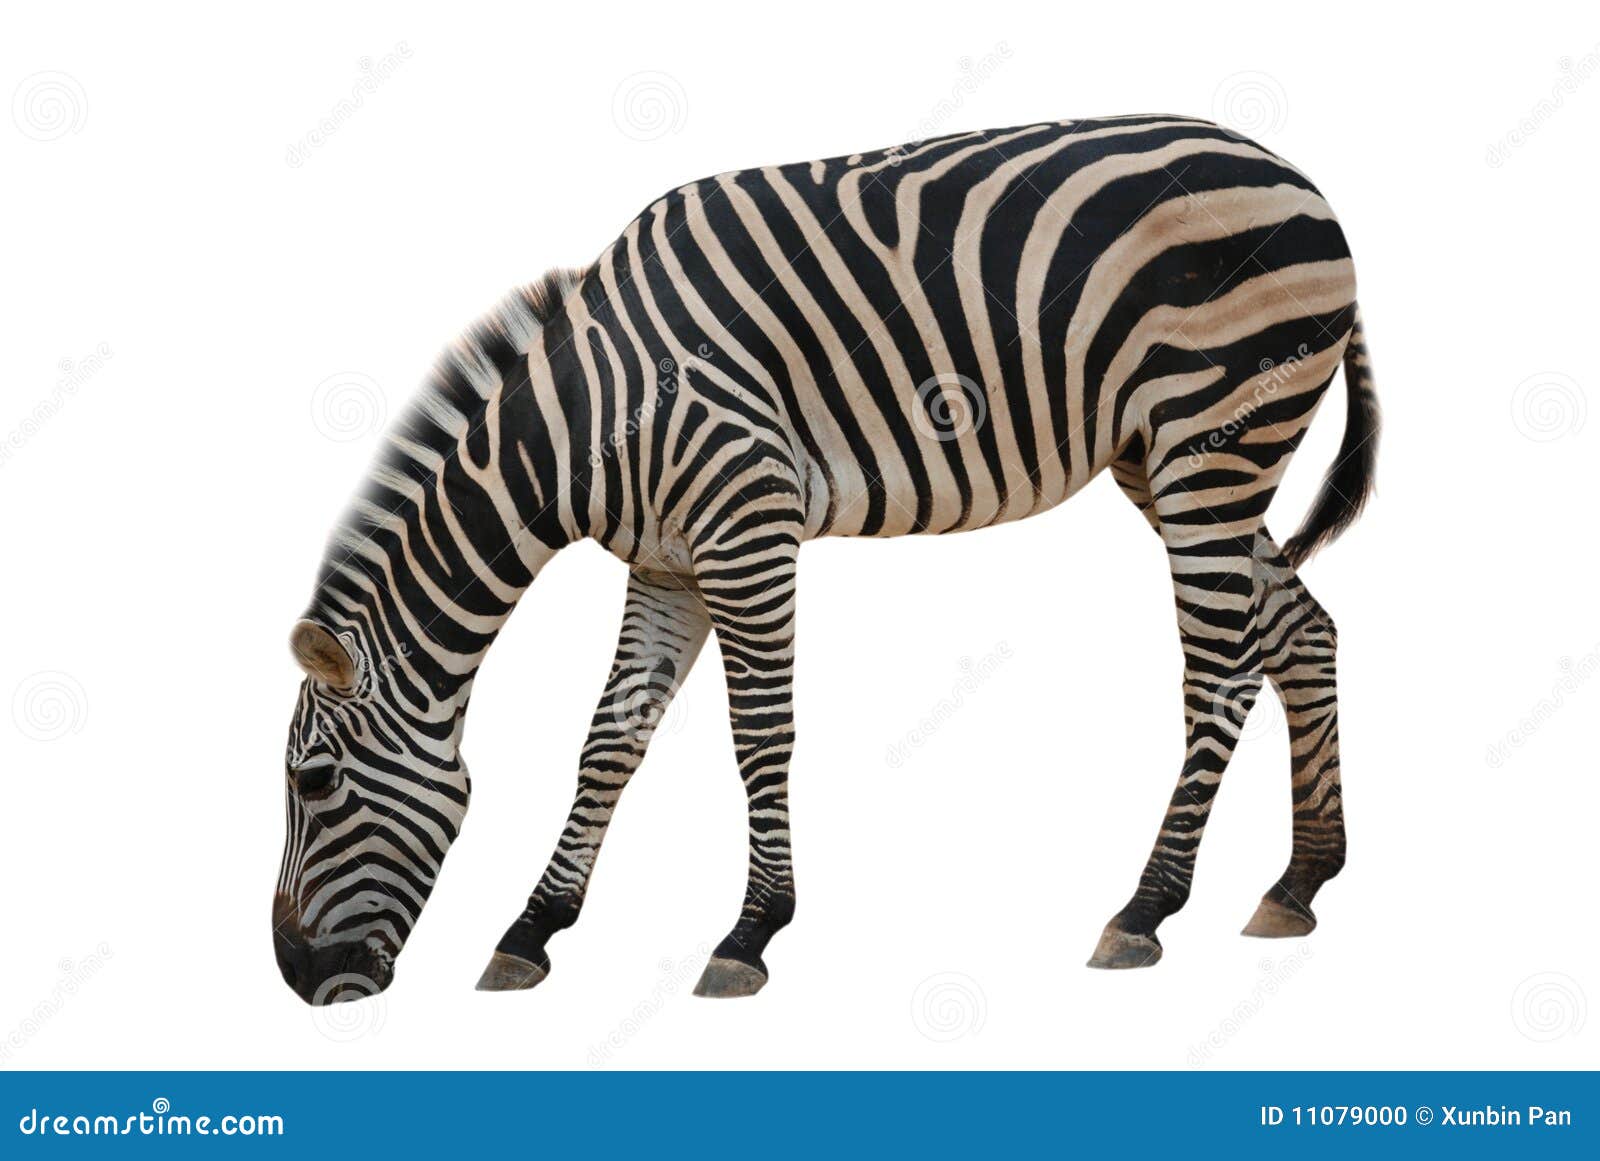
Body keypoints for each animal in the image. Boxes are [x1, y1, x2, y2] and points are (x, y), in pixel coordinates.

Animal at [274, 114, 1377, 1004]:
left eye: (315, 782)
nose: (296, 979)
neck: (589, 415)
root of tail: (1296, 175)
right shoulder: (667, 563)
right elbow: (609, 742)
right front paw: (531, 931)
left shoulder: (743, 521)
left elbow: (759, 735)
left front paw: (750, 932)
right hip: (1170, 456)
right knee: (1299, 628)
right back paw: (1299, 881)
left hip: (1214, 434)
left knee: (1220, 665)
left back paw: (1144, 908)